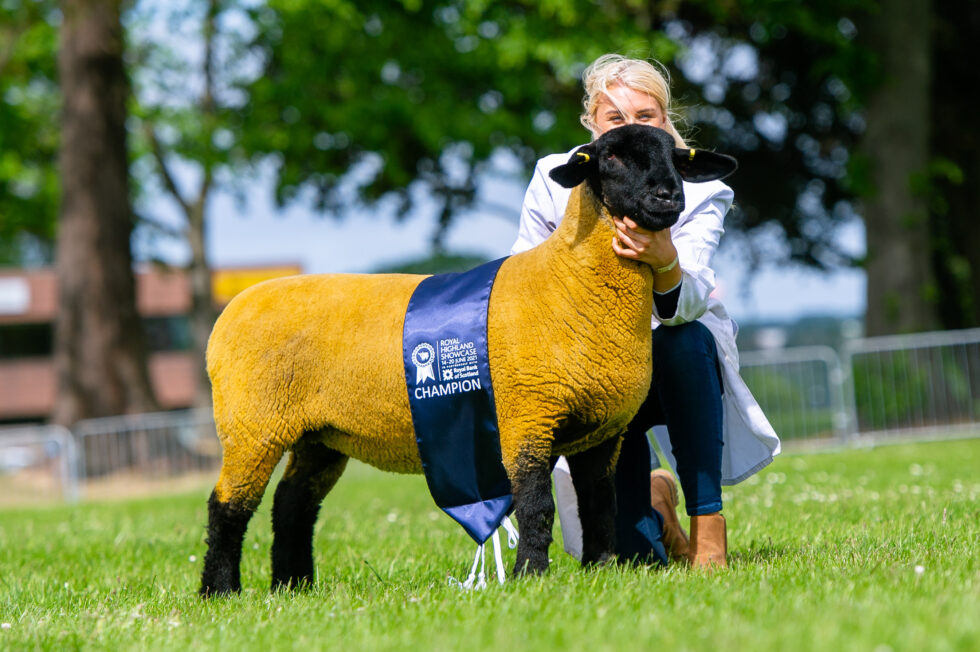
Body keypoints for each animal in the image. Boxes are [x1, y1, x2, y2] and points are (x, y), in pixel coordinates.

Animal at [199, 124, 738, 596]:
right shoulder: (527, 418)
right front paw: (530, 576)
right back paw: (220, 591)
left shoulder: (602, 431)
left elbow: (599, 503)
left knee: (292, 505)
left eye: (678, 157)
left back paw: (293, 586)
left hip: (320, 435)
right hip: (252, 423)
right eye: (611, 158)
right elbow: (537, 505)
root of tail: (234, 309)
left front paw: (601, 568)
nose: (668, 197)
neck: (568, 280)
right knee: (228, 506)